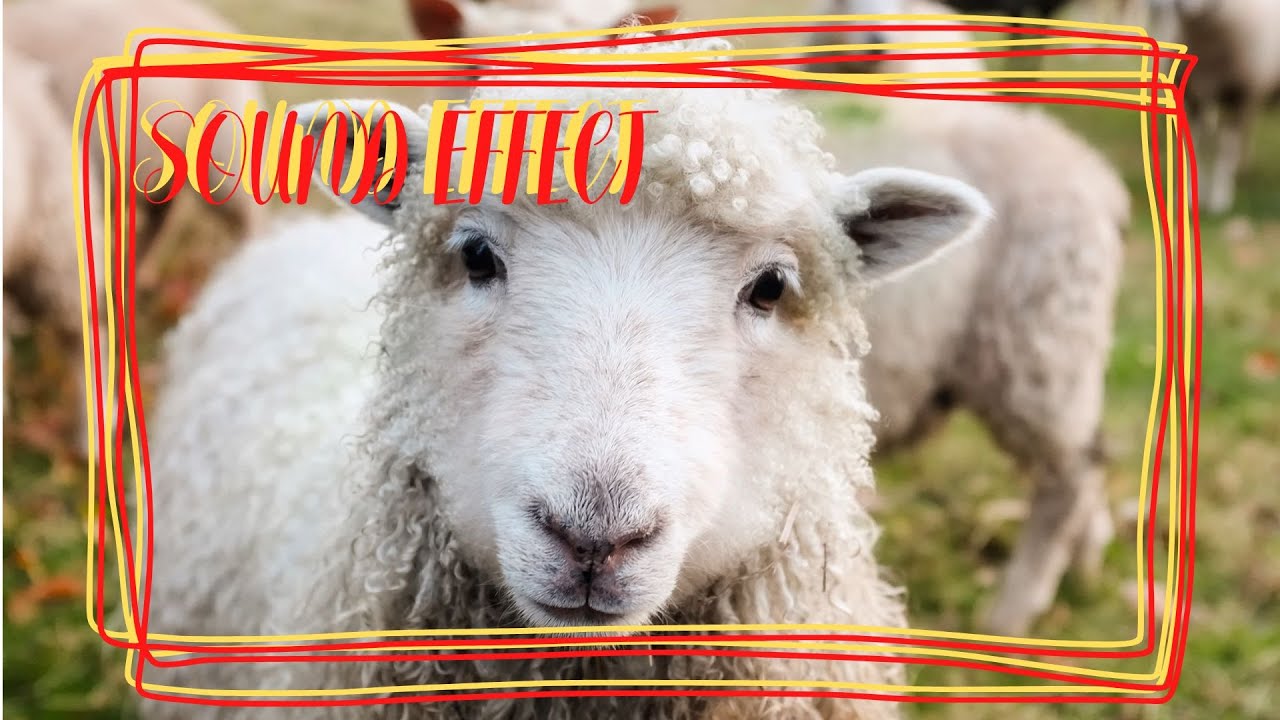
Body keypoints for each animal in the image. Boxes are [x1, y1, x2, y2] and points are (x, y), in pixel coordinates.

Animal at [1147, 0, 1280, 214]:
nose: (1175, 5)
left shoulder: (1238, 96)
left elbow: (1226, 149)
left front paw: (1220, 199)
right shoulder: (1192, 98)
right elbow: (1193, 148)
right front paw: (1188, 197)